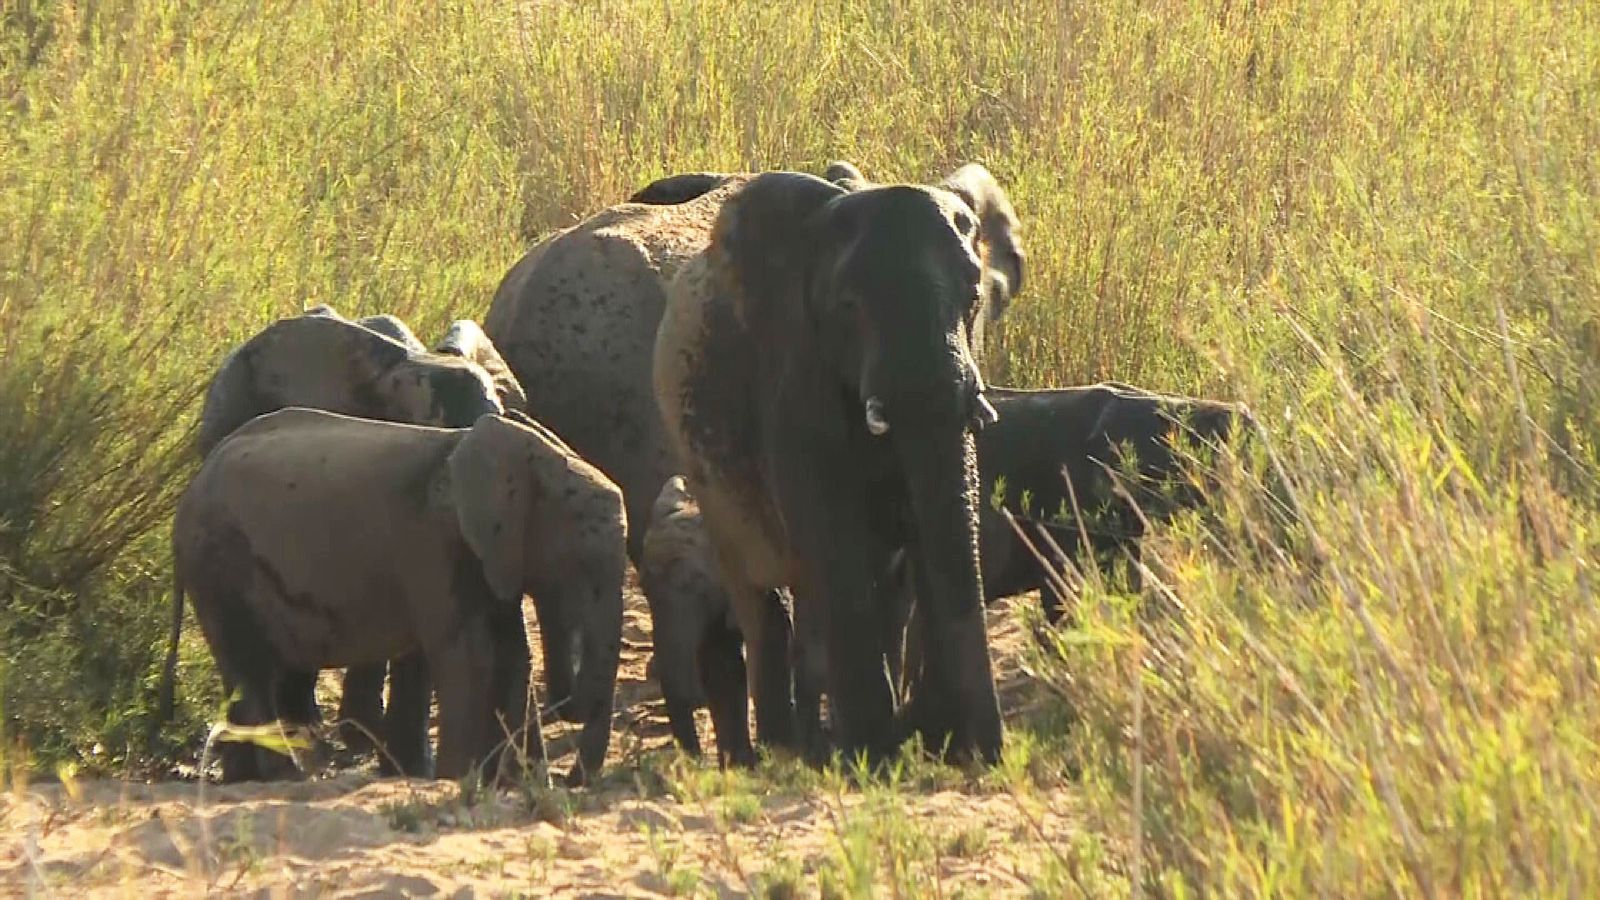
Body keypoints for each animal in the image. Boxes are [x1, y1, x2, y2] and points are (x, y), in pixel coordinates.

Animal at [165, 407, 626, 784]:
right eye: (582, 555)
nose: (574, 781)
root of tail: (193, 487)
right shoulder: (434, 546)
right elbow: (471, 655)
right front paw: (458, 780)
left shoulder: (489, 556)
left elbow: (515, 655)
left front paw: (516, 784)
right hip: (218, 563)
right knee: (254, 671)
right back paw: (286, 777)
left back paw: (243, 780)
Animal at [653, 169, 1024, 768]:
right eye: (849, 307)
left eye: (973, 299)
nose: (991, 755)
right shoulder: (792, 375)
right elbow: (834, 538)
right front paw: (875, 757)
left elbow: (937, 524)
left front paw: (927, 743)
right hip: (703, 478)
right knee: (765, 602)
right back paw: (785, 750)